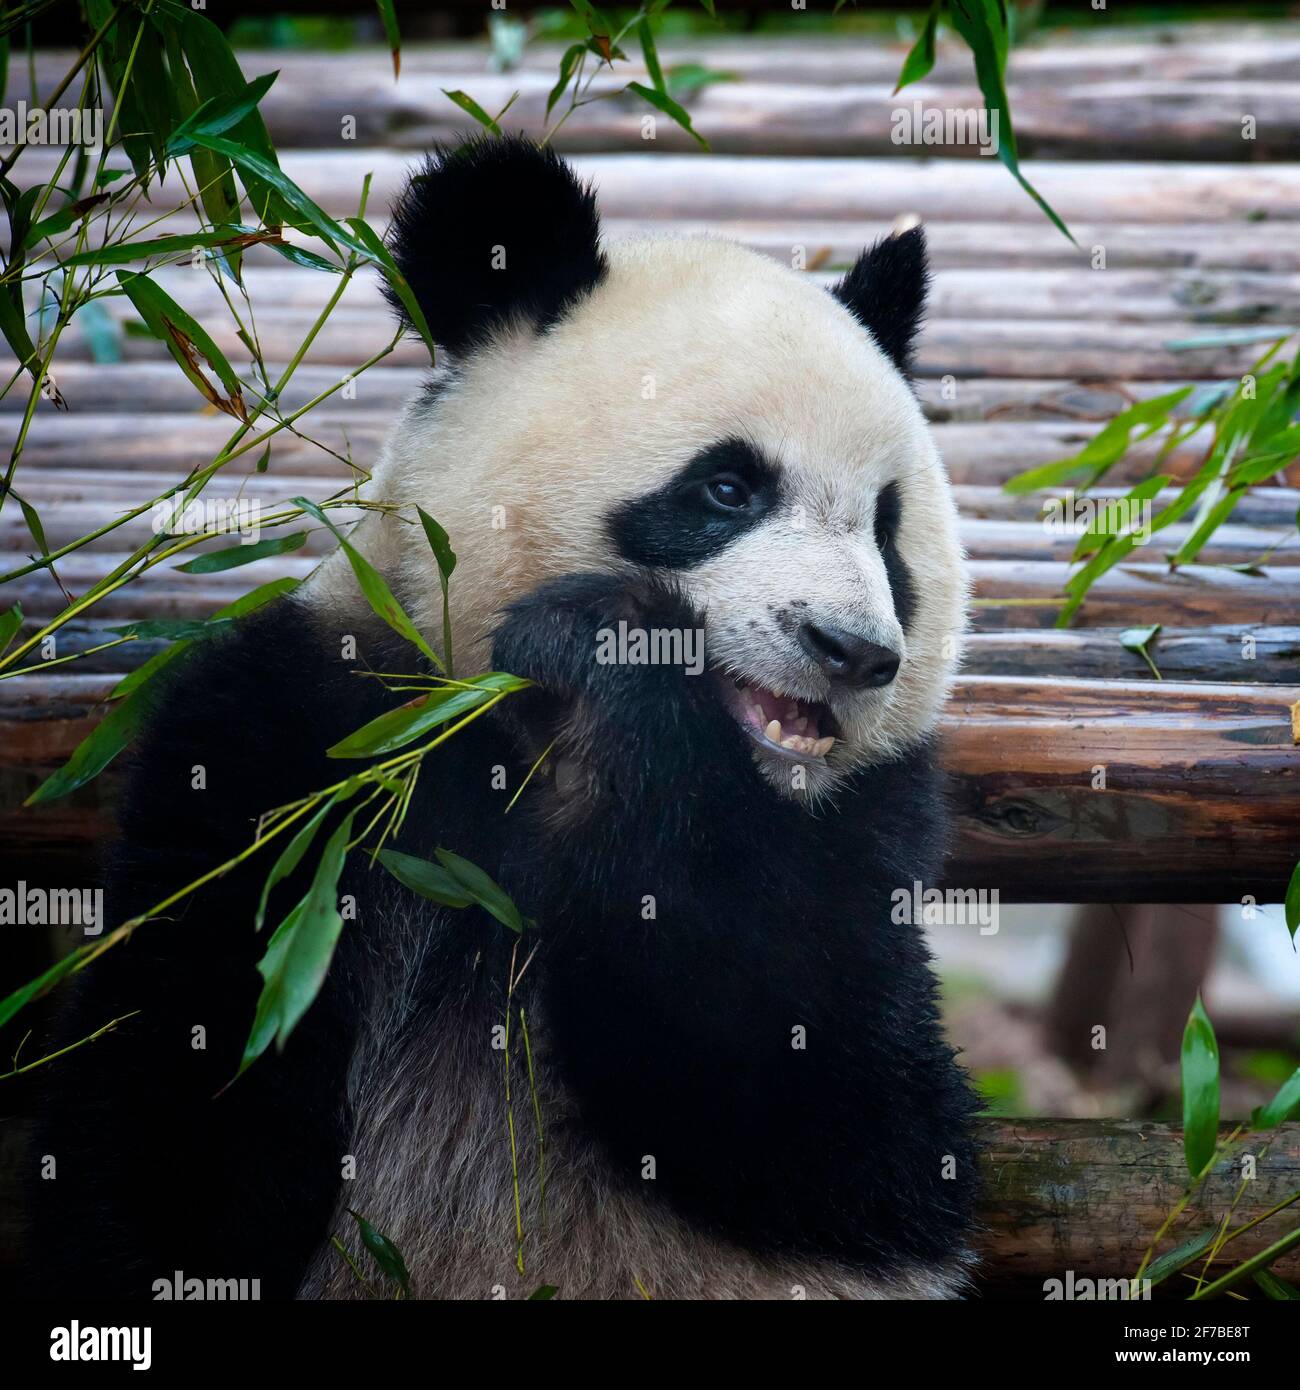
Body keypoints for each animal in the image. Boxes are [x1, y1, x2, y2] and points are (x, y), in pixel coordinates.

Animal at [28, 137, 979, 1301]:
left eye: (888, 529)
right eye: (726, 489)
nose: (852, 651)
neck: (525, 748)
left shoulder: (876, 819)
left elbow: (851, 1119)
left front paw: (612, 656)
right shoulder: (304, 737)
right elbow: (179, 1109)